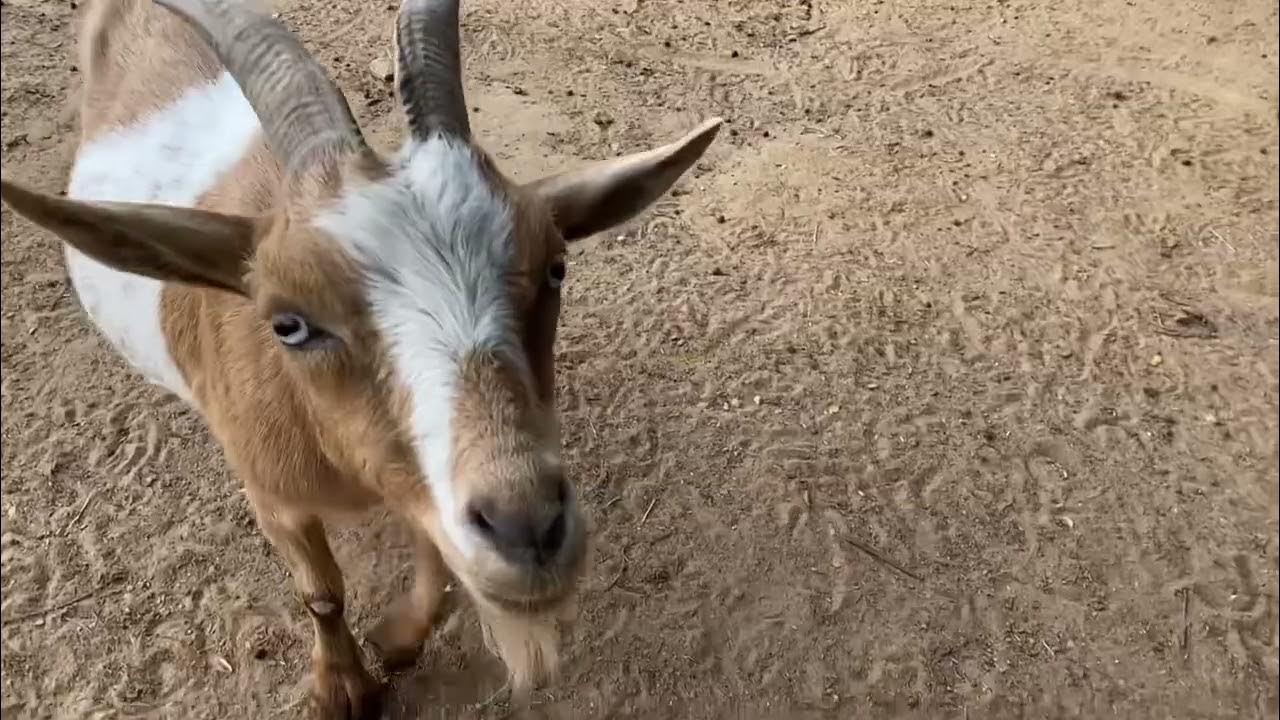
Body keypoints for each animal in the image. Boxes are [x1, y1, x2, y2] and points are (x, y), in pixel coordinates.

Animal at [0, 0, 721, 716]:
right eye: (288, 325)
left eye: (556, 267)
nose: (527, 527)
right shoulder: (276, 497)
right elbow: (321, 591)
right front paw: (341, 686)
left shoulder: (419, 482)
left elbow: (438, 568)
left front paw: (397, 640)